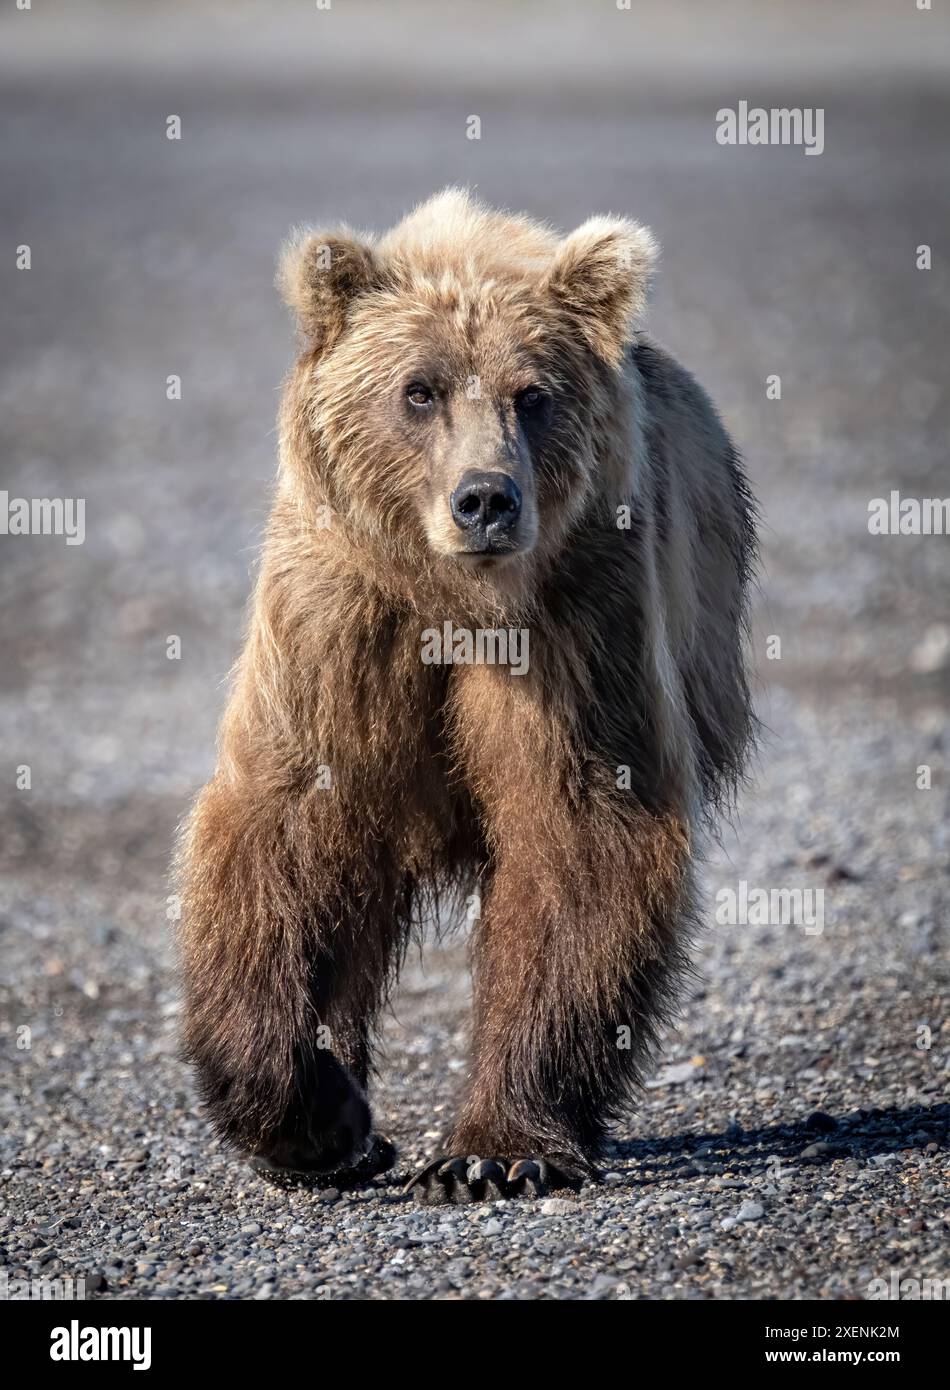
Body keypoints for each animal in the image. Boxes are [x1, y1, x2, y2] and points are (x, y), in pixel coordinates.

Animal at [177, 188, 757, 1203]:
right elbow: (287, 824)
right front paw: (314, 1116)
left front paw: (493, 1152)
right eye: (421, 390)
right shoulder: (338, 611)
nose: (486, 499)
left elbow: (579, 833)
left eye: (534, 394)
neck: (453, 600)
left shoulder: (579, 613)